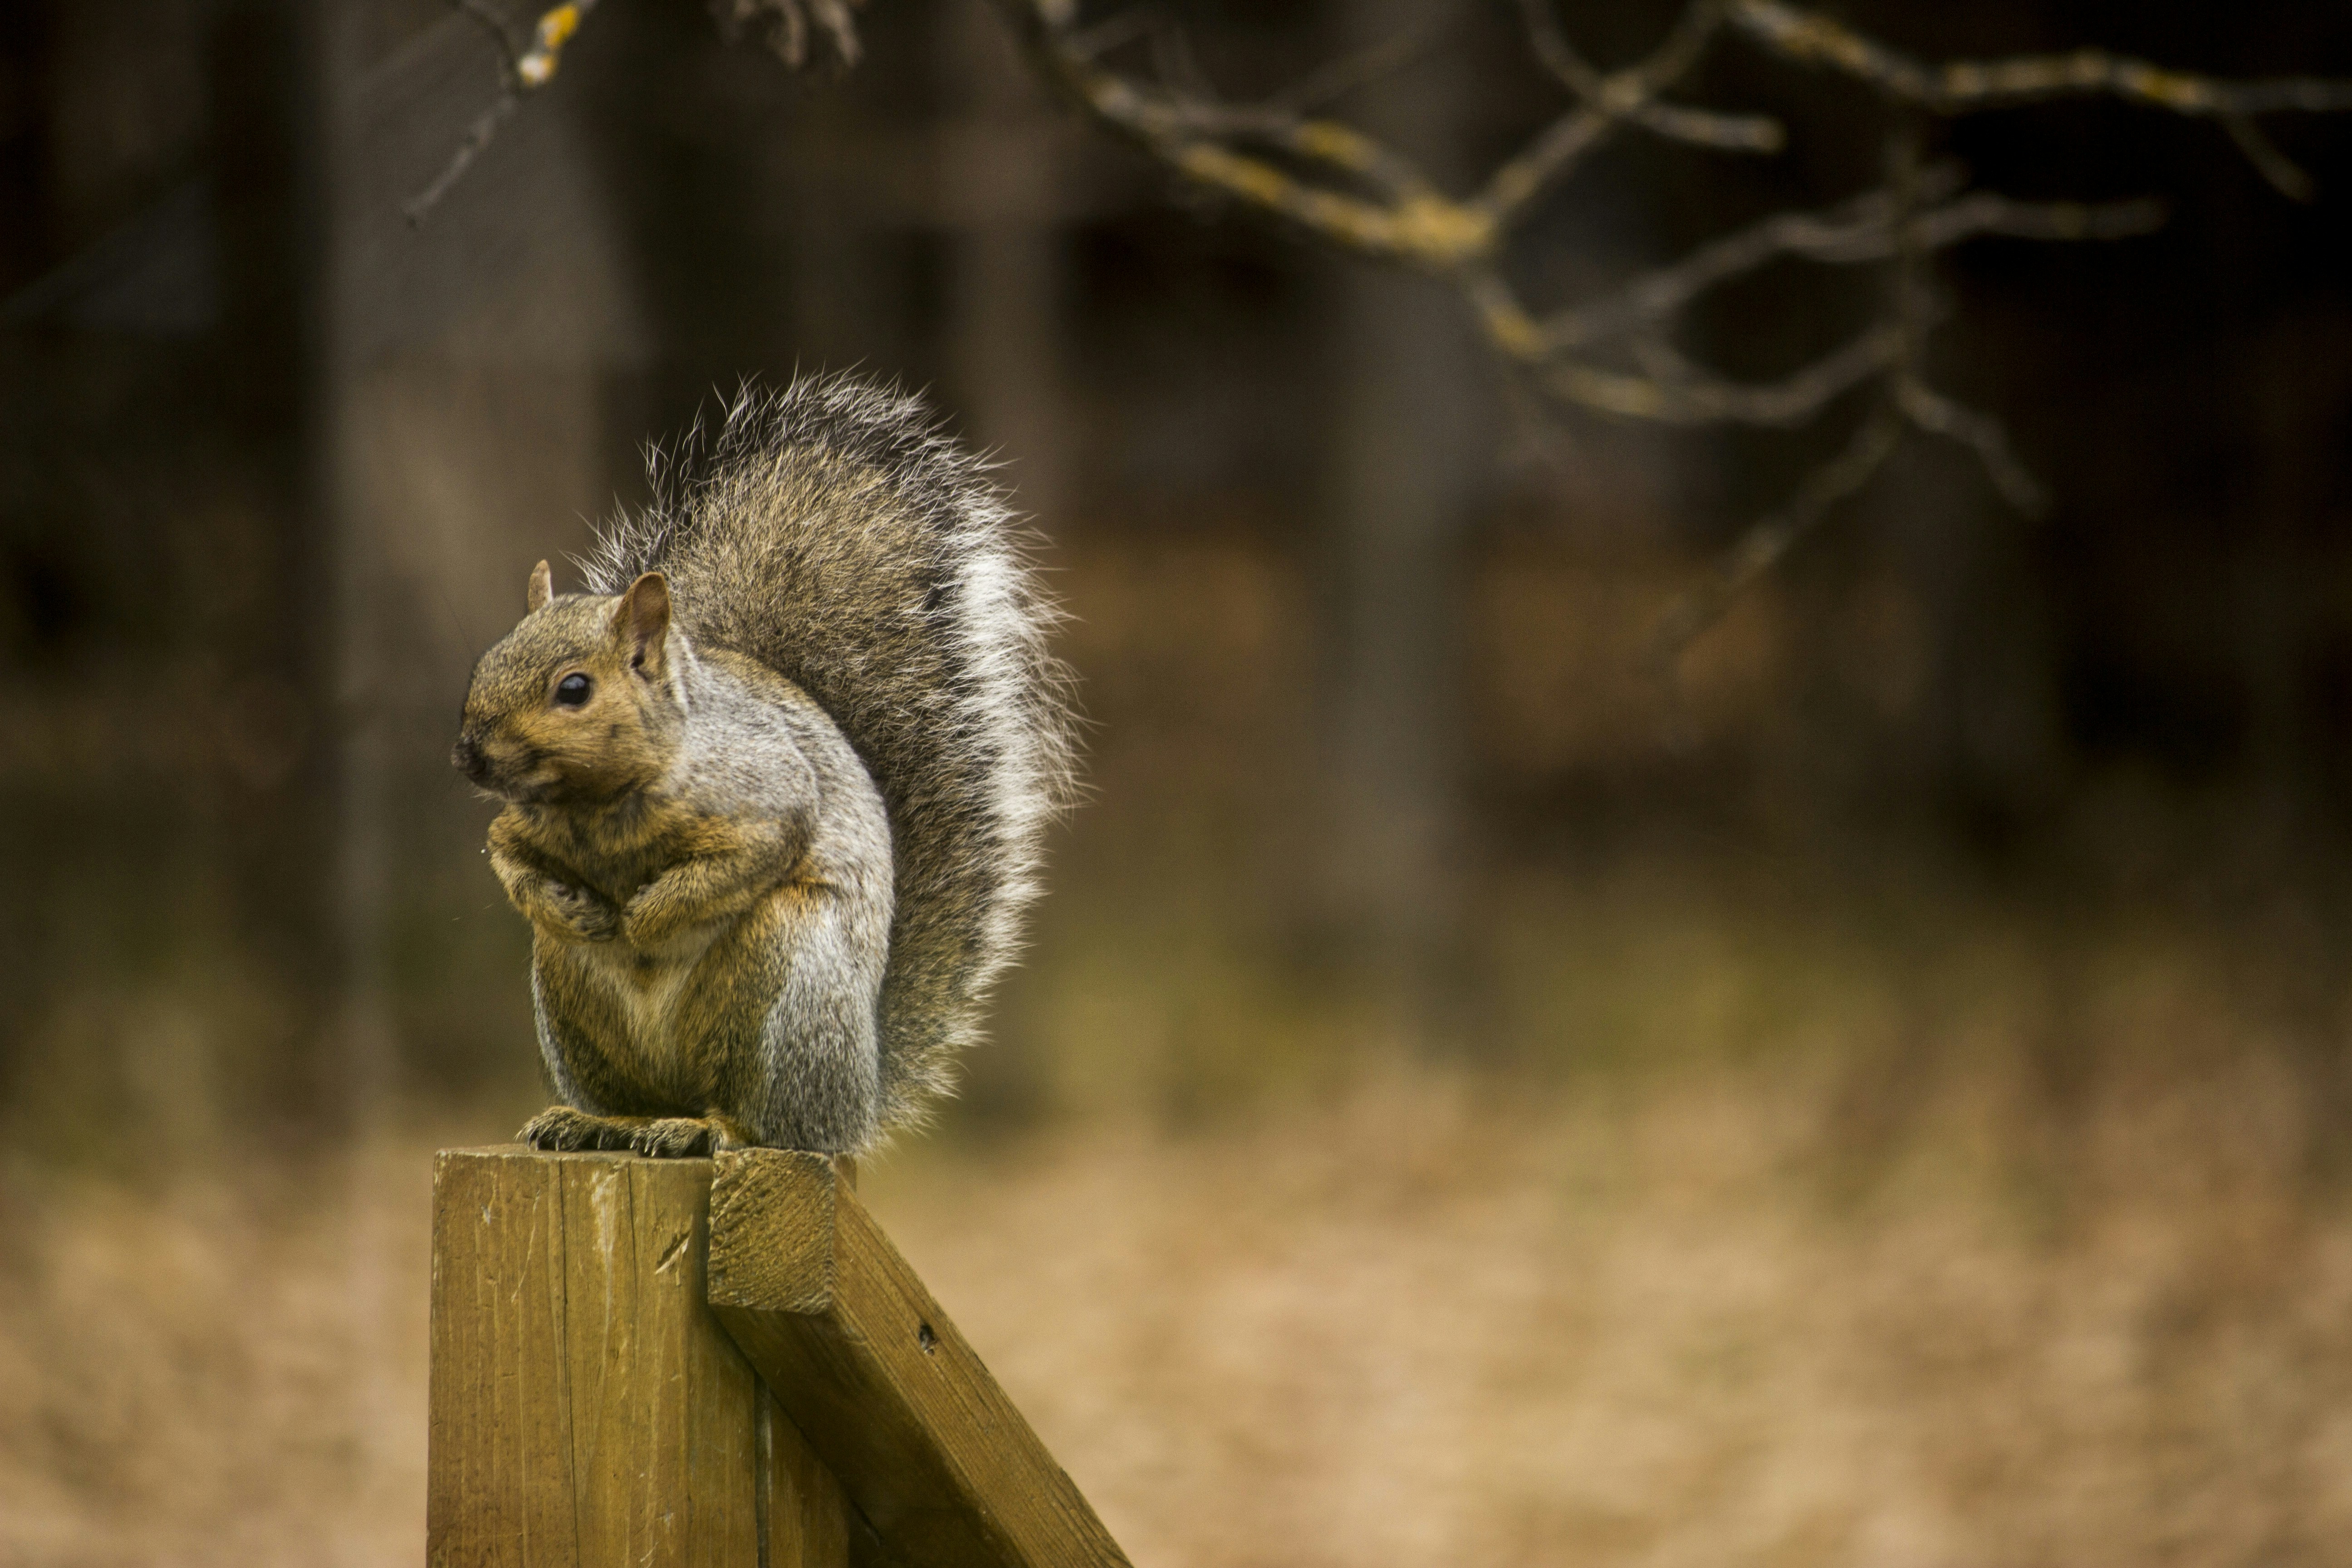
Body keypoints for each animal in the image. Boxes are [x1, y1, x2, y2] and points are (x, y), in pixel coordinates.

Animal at [451, 374, 1076, 1158]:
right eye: (490, 658)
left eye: (574, 689)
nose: (470, 754)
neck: (596, 806)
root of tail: (857, 1100)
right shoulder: (522, 828)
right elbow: (506, 856)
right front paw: (568, 905)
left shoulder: (767, 794)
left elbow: (746, 857)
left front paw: (648, 917)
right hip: (568, 995)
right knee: (636, 1099)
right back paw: (593, 1122)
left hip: (786, 973)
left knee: (767, 1123)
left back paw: (706, 1129)